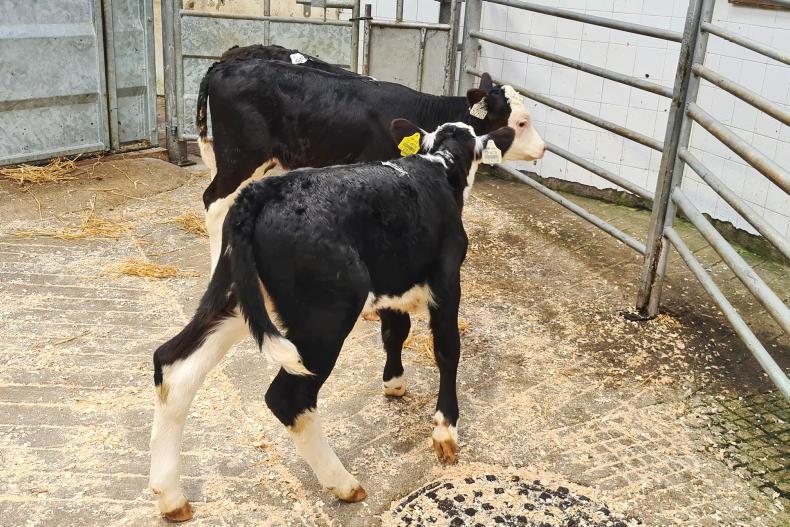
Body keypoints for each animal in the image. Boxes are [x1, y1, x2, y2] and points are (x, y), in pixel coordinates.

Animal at [149, 120, 517, 521]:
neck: (437, 166)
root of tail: (262, 192)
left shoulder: (393, 278)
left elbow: (395, 331)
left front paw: (394, 383)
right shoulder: (447, 281)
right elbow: (448, 350)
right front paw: (445, 431)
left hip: (234, 298)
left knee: (174, 366)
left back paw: (171, 498)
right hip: (327, 314)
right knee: (288, 397)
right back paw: (343, 483)